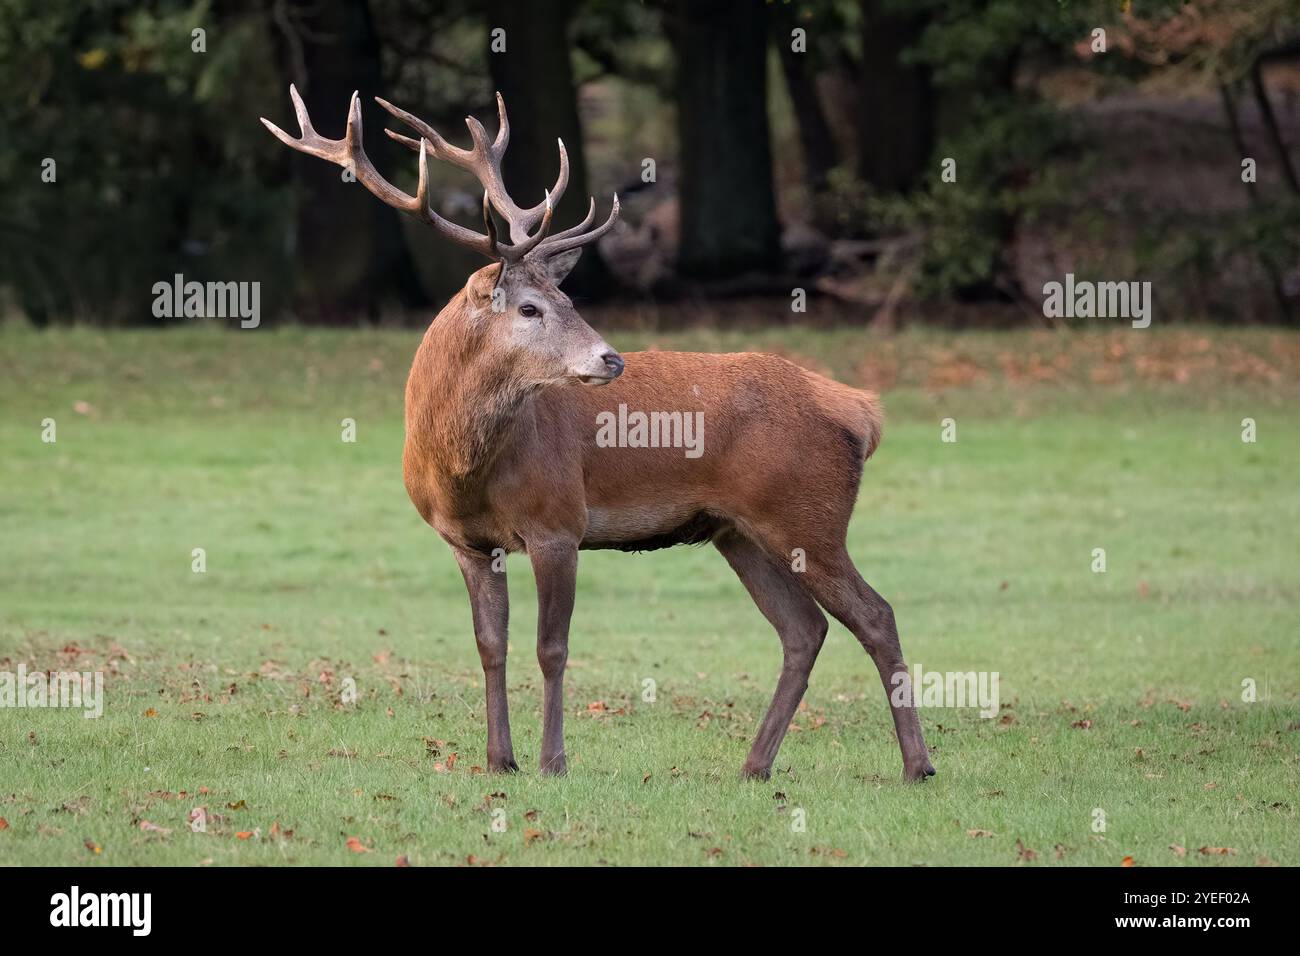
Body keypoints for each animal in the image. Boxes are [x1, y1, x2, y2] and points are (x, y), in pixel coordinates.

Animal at [262, 86, 935, 783]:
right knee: (804, 630)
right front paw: (498, 760)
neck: (461, 471)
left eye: (569, 300)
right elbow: (491, 646)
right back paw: (755, 765)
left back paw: (916, 766)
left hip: (807, 514)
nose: (611, 359)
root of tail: (860, 410)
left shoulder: (559, 521)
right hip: (739, 531)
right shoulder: (466, 542)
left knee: (875, 614)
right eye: (531, 308)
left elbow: (551, 647)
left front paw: (552, 761)